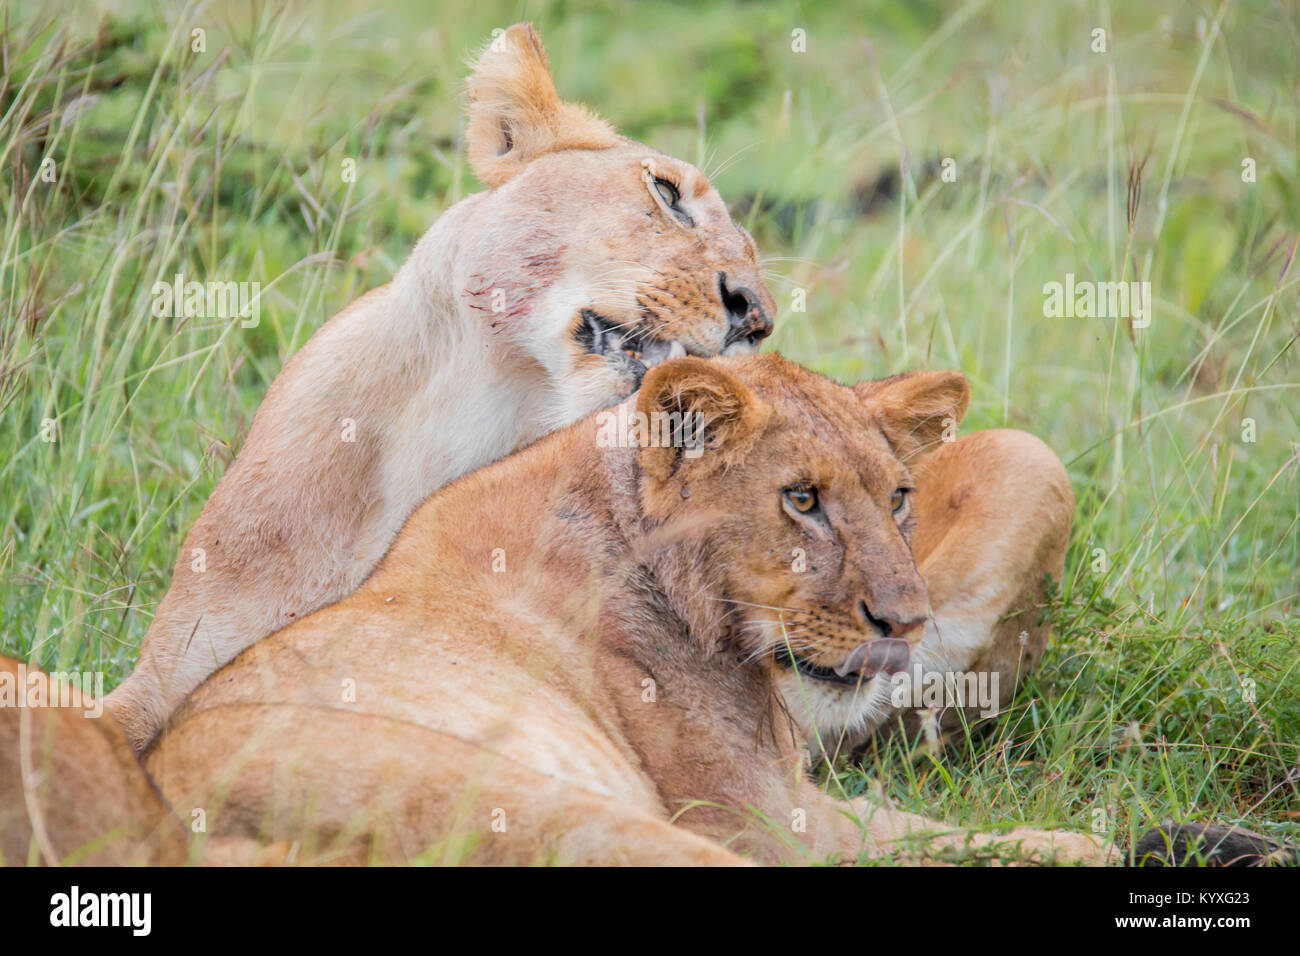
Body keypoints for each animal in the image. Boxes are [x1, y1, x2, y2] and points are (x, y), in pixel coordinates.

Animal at [117, 354, 1112, 865]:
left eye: (898, 497)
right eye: (801, 500)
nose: (904, 623)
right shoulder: (760, 817)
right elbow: (948, 840)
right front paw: (1089, 844)